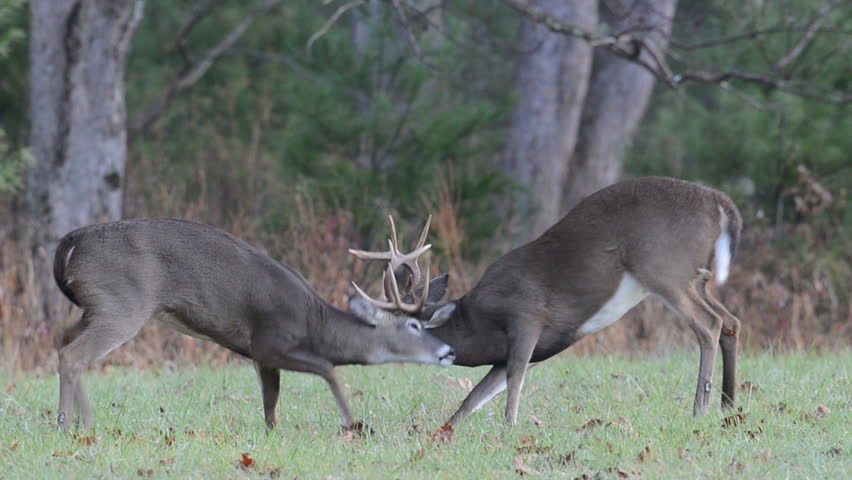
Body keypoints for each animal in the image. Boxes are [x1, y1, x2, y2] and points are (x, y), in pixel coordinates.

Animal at [51, 218, 455, 430]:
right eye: (413, 327)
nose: (448, 351)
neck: (316, 324)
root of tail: (71, 241)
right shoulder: (270, 343)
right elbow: (328, 369)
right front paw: (354, 423)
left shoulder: (261, 358)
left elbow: (270, 404)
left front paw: (272, 434)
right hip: (123, 304)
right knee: (72, 355)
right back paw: (68, 425)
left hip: (95, 307)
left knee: (63, 339)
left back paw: (86, 421)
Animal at [351, 176, 743, 426]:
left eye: (403, 325)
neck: (475, 323)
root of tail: (721, 204)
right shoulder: (523, 349)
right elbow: (473, 398)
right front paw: (446, 430)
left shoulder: (526, 318)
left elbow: (515, 379)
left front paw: (510, 426)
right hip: (697, 277)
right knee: (730, 321)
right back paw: (728, 405)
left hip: (664, 268)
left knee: (708, 325)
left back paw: (700, 409)